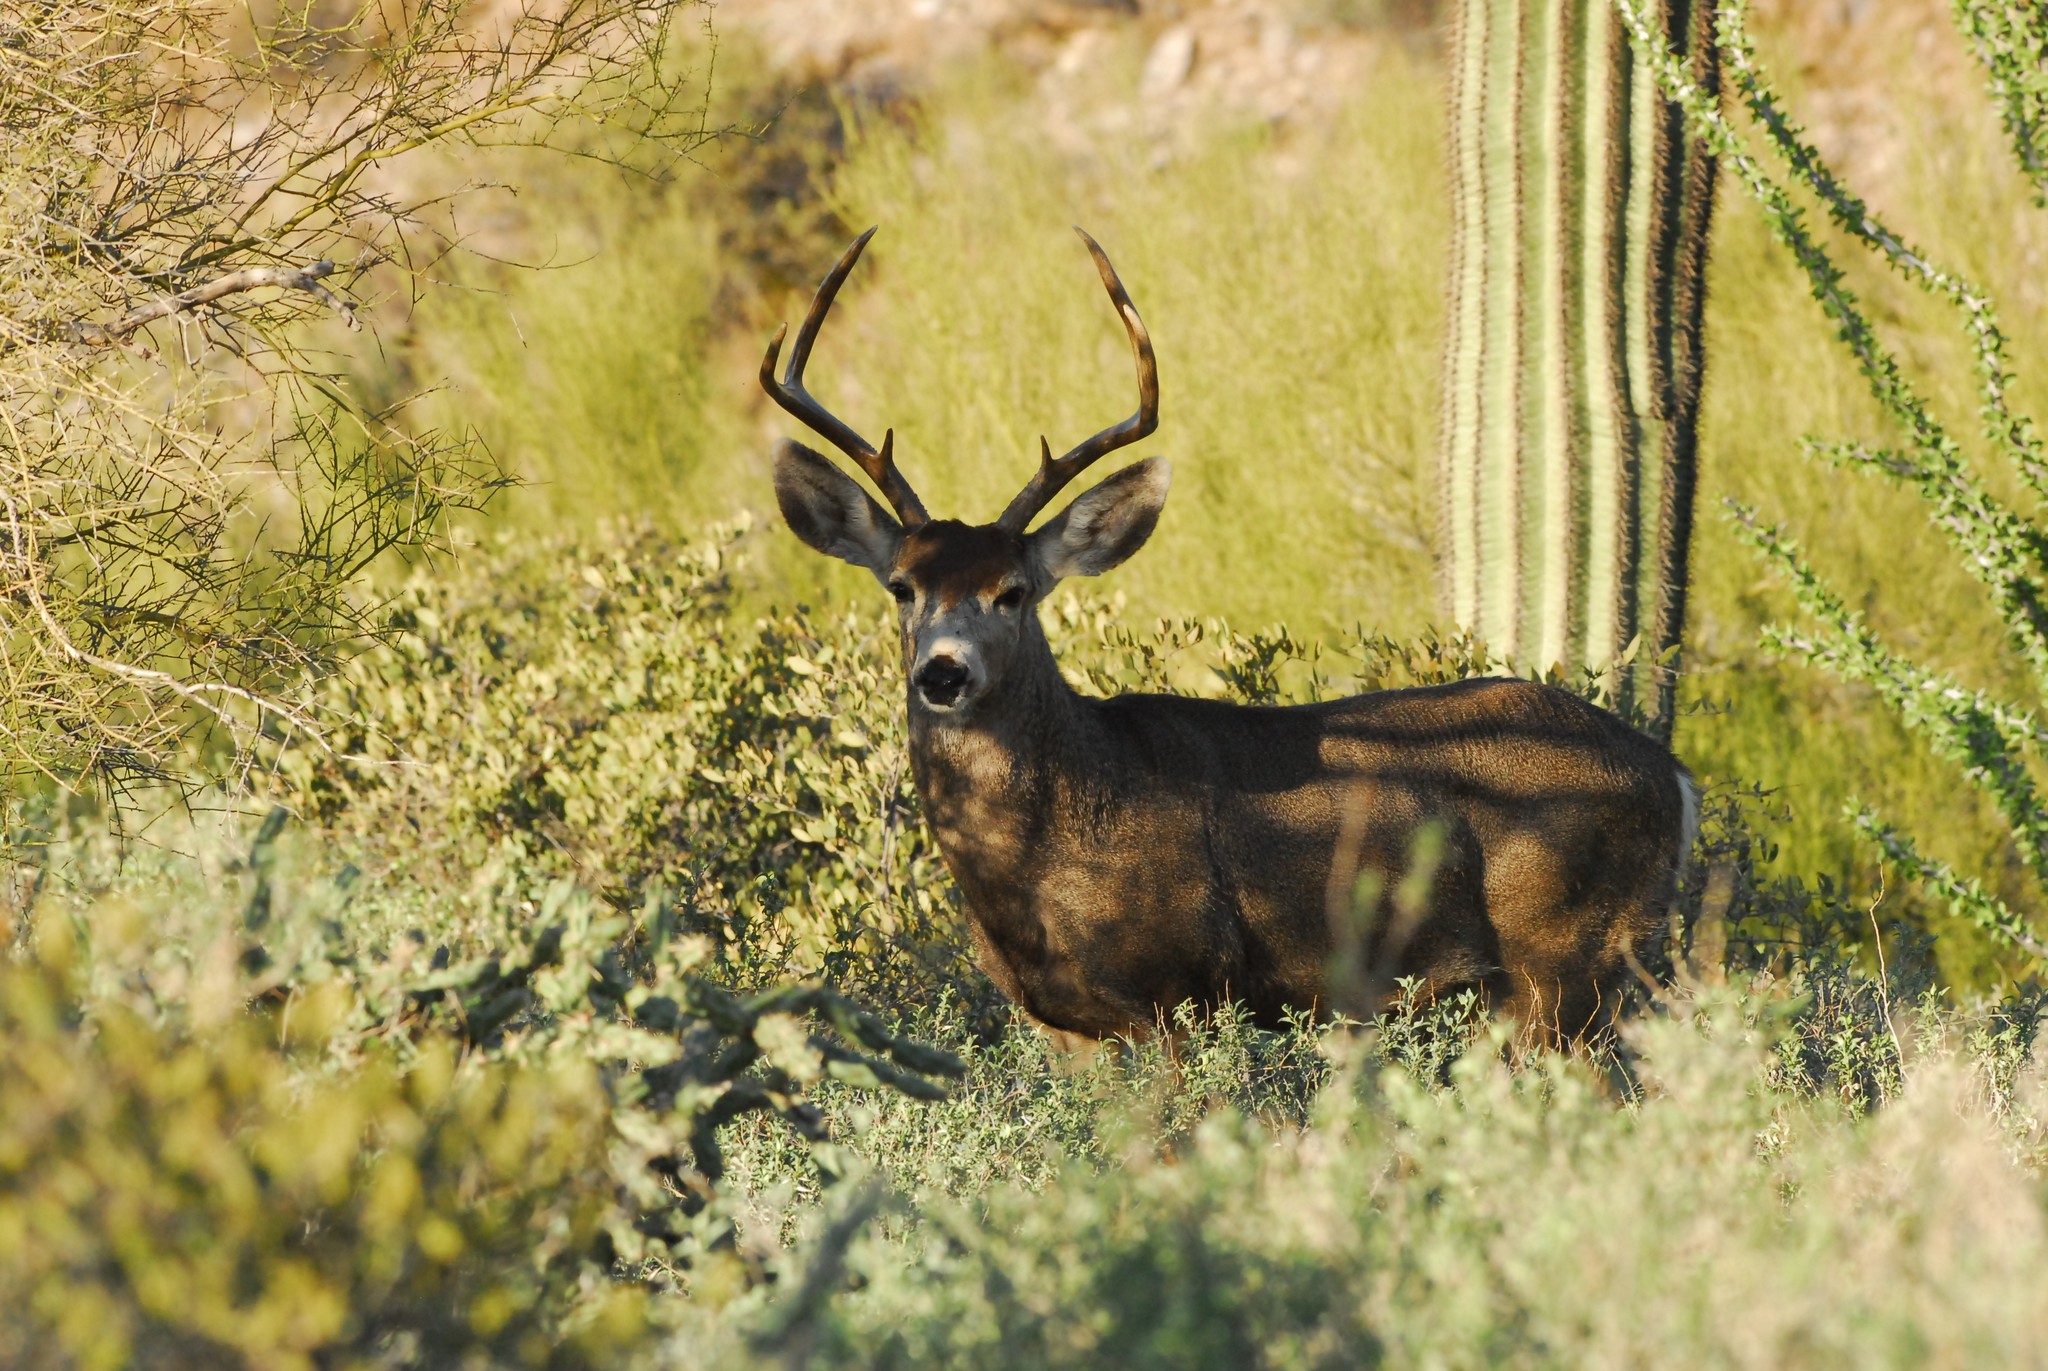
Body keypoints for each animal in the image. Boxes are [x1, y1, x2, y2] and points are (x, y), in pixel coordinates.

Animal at [760, 226, 1699, 1048]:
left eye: (1011, 592)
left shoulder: (1181, 988)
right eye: (902, 587)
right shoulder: (1062, 1023)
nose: (944, 672)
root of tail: (1675, 776)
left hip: (1563, 961)